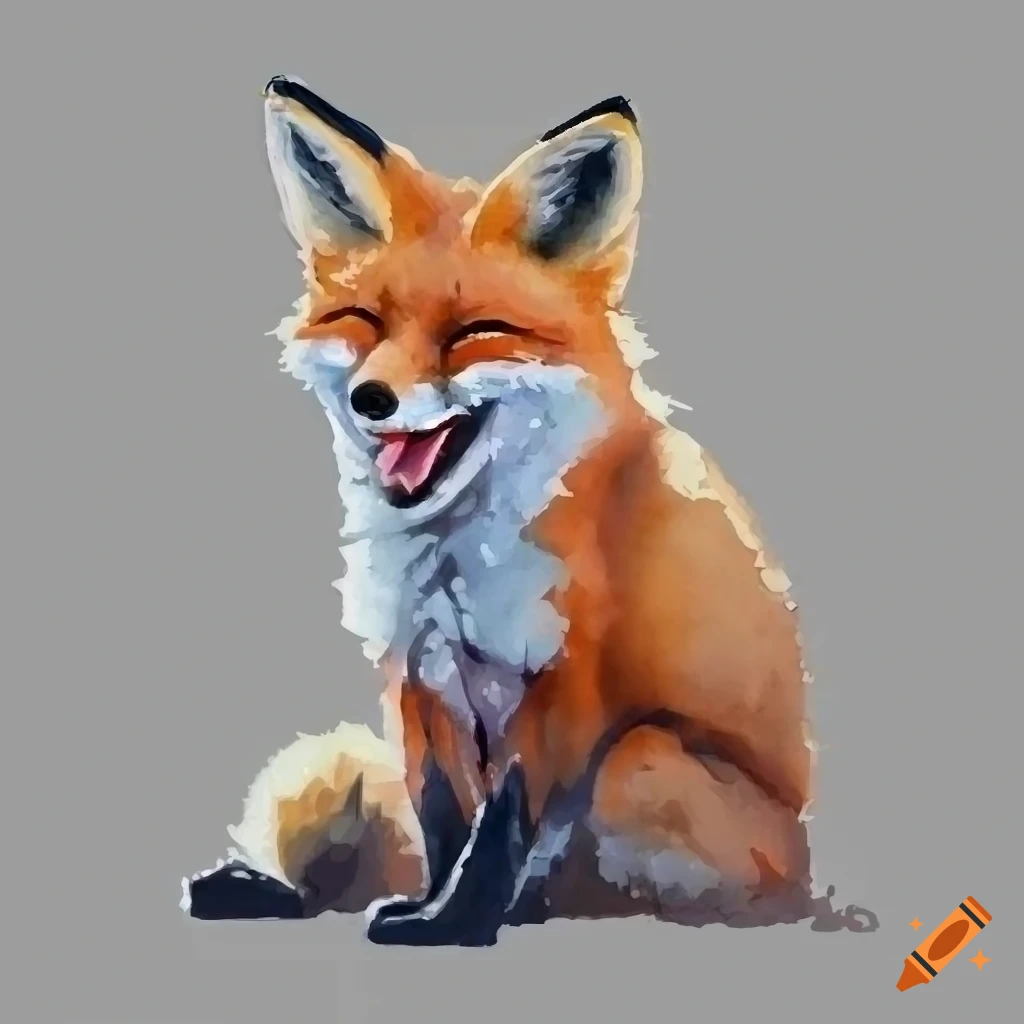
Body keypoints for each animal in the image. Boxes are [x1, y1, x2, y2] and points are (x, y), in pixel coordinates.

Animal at [184, 75, 821, 946]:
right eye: (365, 322)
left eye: (474, 332)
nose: (370, 397)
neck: (453, 561)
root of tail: (813, 881)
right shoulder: (417, 672)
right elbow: (440, 816)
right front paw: (429, 907)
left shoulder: (560, 678)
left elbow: (501, 825)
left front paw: (454, 922)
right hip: (324, 769)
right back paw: (261, 888)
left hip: (640, 762)